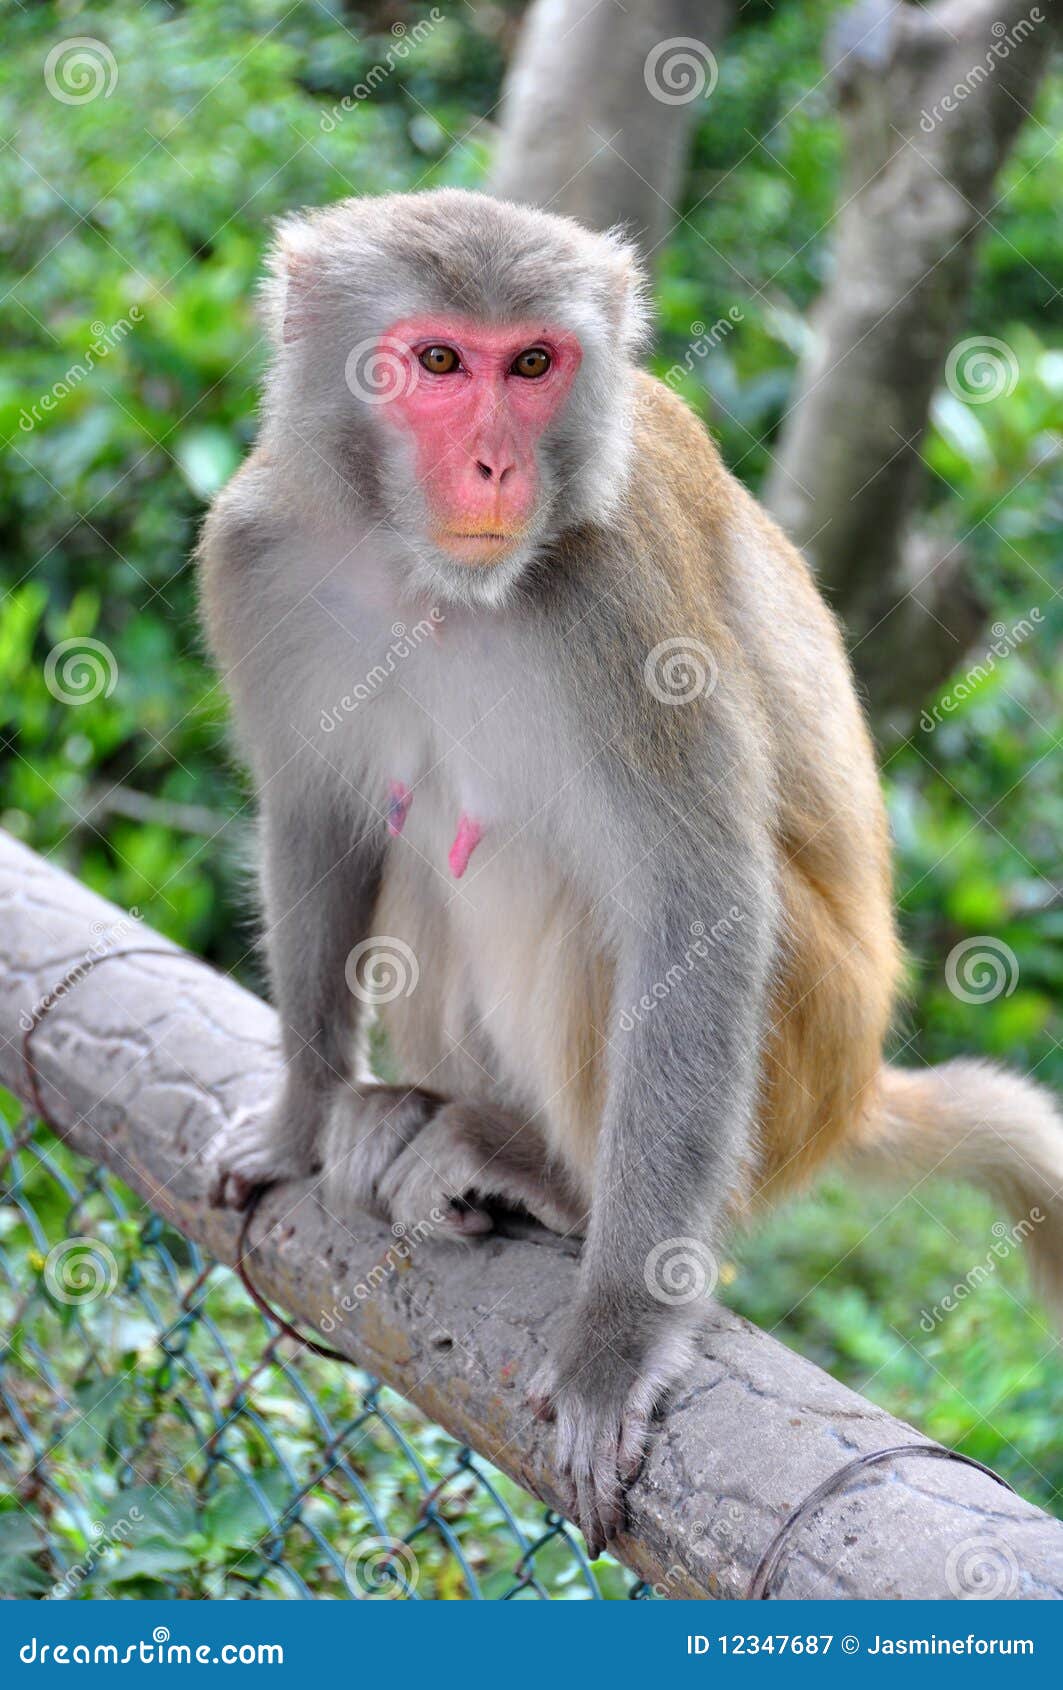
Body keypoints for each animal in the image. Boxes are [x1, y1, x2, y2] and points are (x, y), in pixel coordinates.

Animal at [200, 187, 1063, 1558]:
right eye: (438, 361)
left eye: (533, 366)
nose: (497, 466)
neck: (427, 577)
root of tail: (855, 1086)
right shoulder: (258, 553)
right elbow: (318, 818)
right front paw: (296, 1114)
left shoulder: (619, 608)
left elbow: (697, 909)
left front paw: (614, 1342)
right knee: (429, 836)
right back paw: (420, 1107)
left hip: (796, 1059)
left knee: (560, 875)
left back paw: (543, 1172)